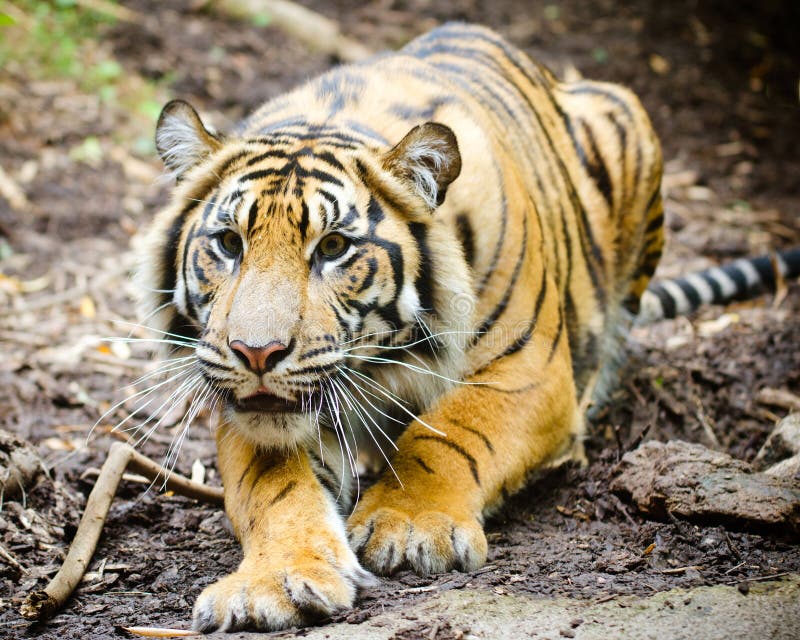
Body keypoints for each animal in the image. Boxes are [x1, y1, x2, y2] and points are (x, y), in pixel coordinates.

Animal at [138, 21, 678, 632]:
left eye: (333, 247)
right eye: (230, 243)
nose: (256, 353)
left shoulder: (527, 368)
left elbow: (449, 433)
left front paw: (410, 523)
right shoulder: (239, 408)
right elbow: (272, 487)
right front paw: (273, 582)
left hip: (624, 123)